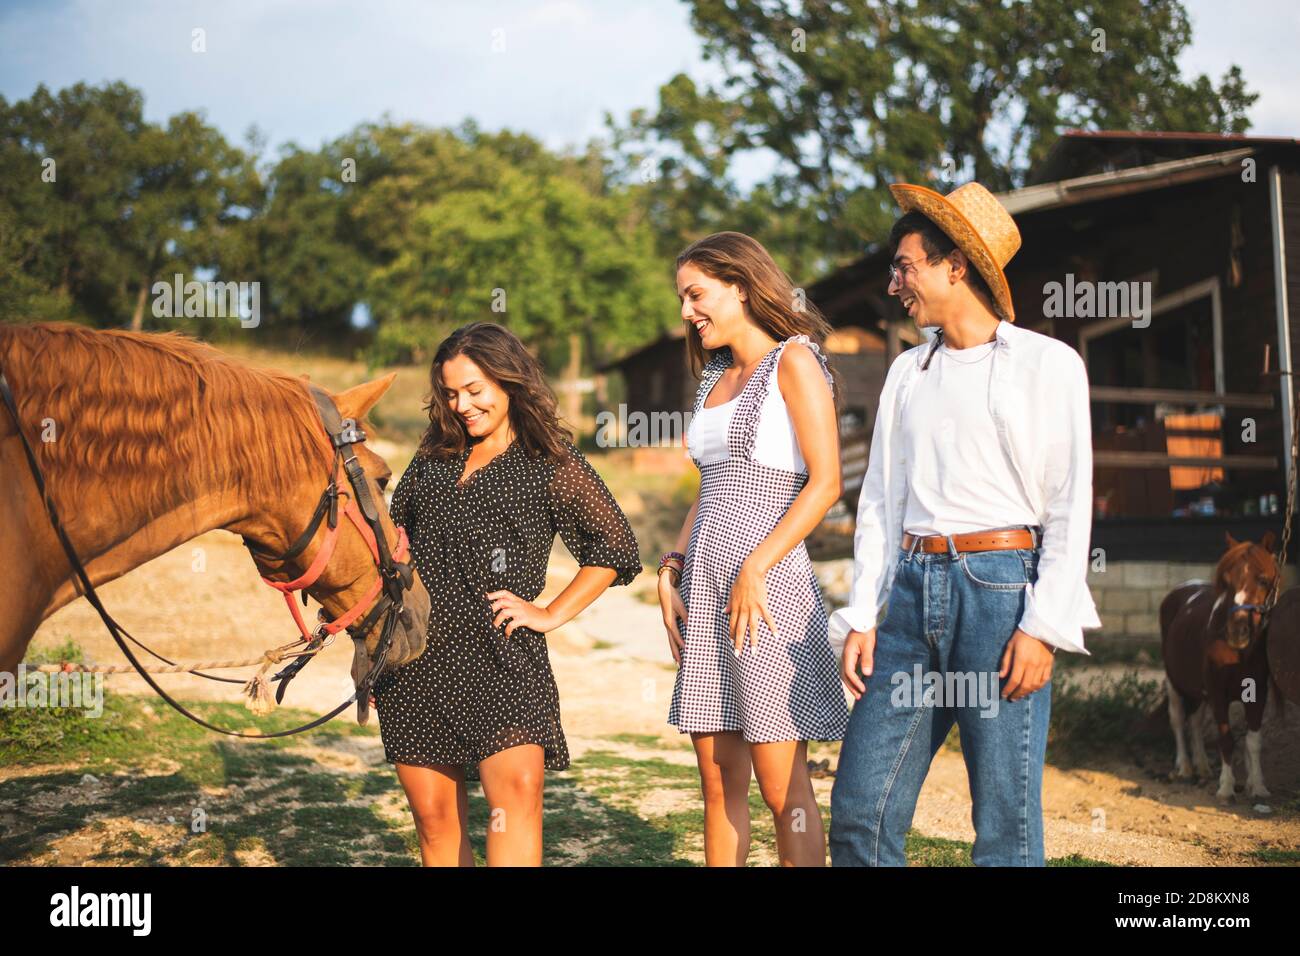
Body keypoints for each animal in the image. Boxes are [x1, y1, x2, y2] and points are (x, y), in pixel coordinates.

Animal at [1159, 531, 1277, 802]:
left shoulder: (1258, 694)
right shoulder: (1217, 693)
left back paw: (1202, 766)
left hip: (1198, 691)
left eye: (1263, 580)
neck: (1239, 651)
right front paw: (1226, 788)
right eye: (1226, 581)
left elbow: (1253, 742)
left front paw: (1258, 786)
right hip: (1174, 681)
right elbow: (1226, 739)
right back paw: (1185, 767)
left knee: (1195, 721)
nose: (1238, 631)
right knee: (1178, 719)